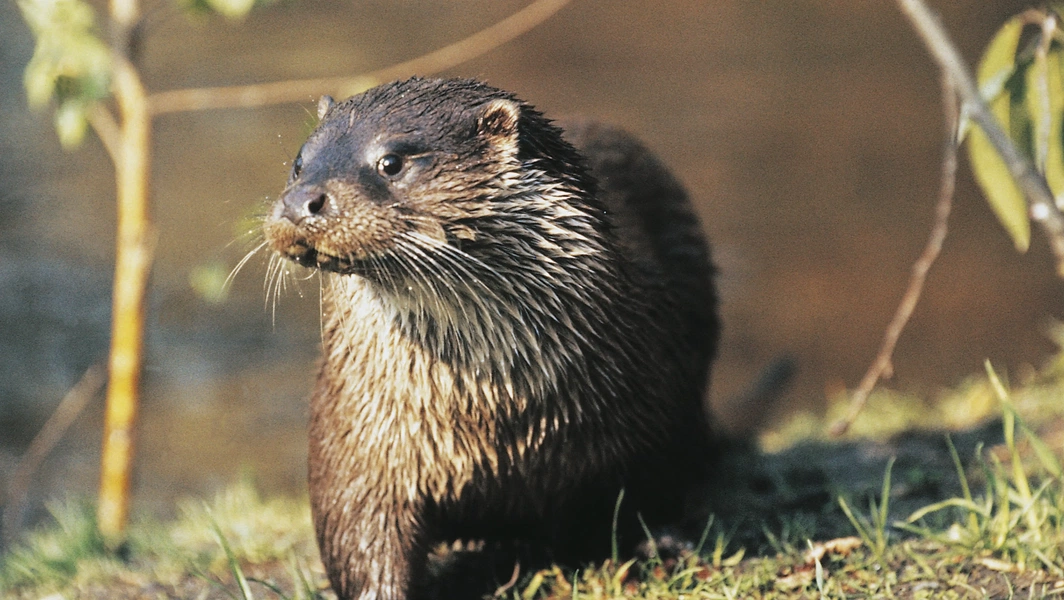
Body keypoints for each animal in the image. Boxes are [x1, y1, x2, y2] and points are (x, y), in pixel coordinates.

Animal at [262, 77, 718, 600]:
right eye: (299, 163)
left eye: (391, 162)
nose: (300, 202)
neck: (492, 416)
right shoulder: (355, 447)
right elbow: (362, 545)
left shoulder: (658, 402)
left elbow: (656, 487)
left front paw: (661, 543)